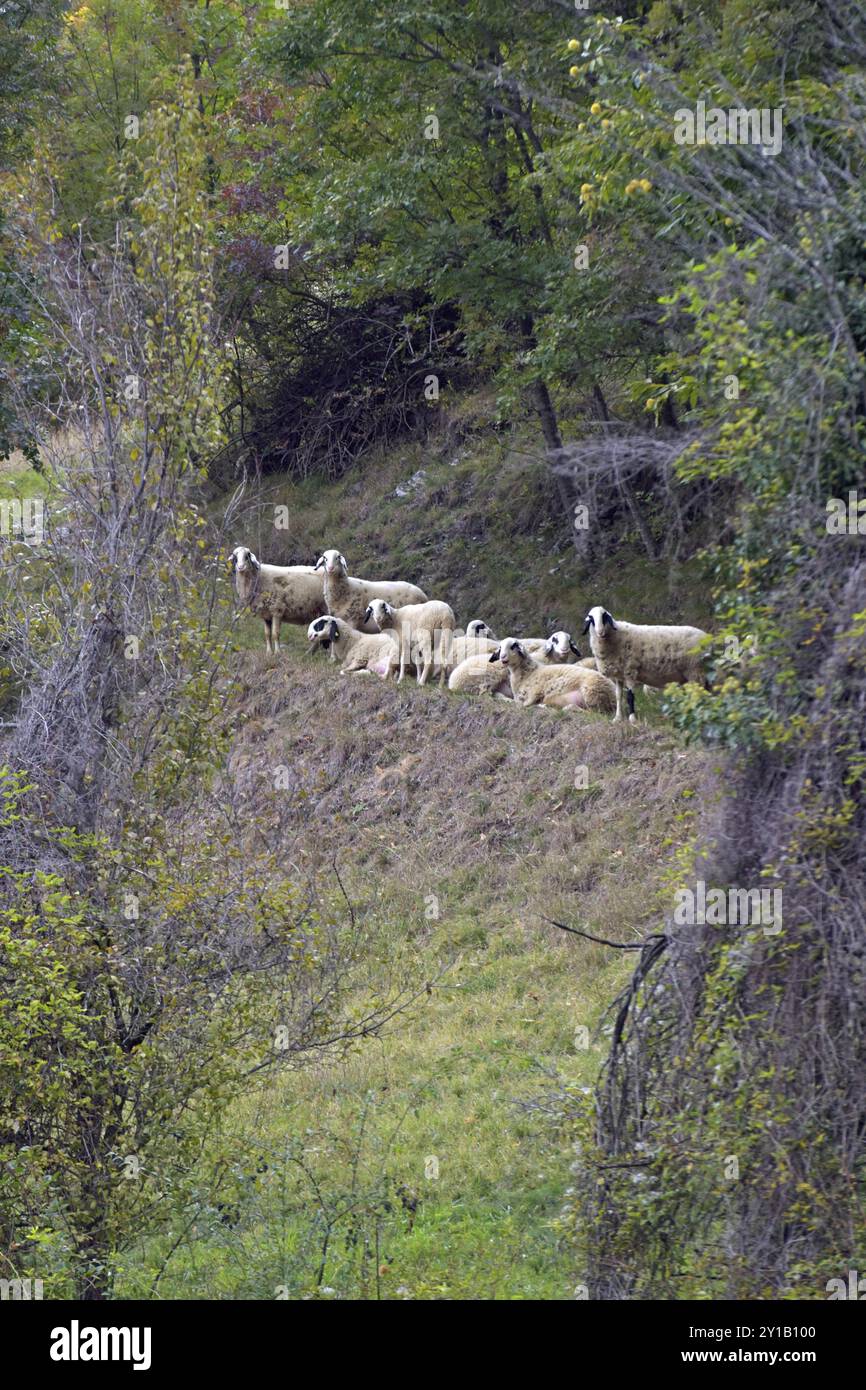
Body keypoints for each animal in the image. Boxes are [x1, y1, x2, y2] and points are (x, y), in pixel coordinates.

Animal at [581, 605, 710, 723]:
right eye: (591, 619)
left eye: (604, 617)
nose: (600, 632)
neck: (614, 638)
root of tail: (707, 637)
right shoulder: (619, 676)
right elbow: (618, 696)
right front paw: (617, 718)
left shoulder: (630, 671)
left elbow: (630, 696)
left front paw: (632, 719)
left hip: (695, 670)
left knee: (699, 694)